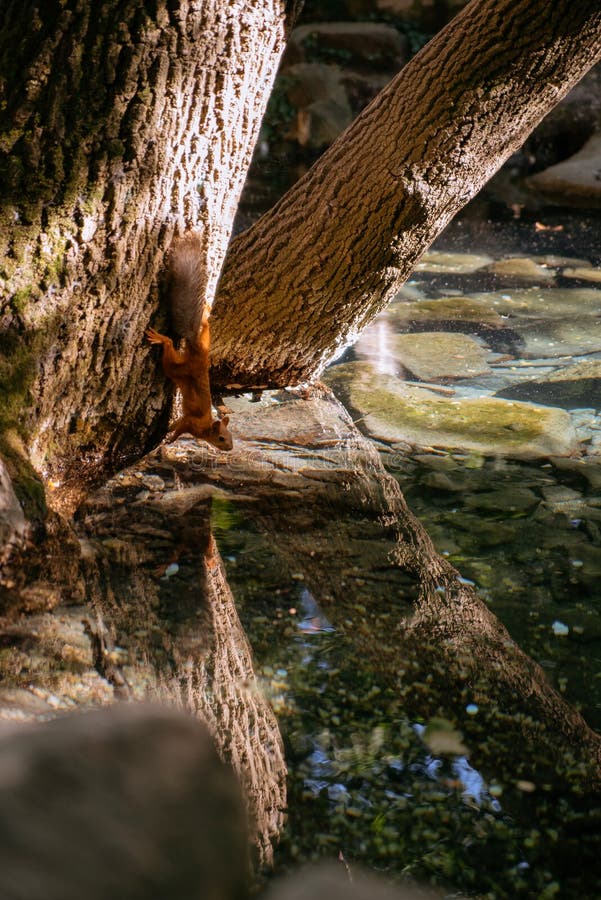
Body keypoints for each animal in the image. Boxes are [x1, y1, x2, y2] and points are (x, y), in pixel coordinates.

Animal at [145, 232, 233, 450]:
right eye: (221, 438)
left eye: (231, 436)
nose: (230, 447)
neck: (206, 426)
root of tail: (199, 351)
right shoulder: (191, 423)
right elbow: (180, 428)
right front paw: (171, 438)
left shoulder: (187, 420)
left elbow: (177, 423)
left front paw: (169, 430)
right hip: (177, 369)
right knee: (169, 348)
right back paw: (161, 339)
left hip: (203, 341)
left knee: (205, 326)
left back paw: (206, 312)